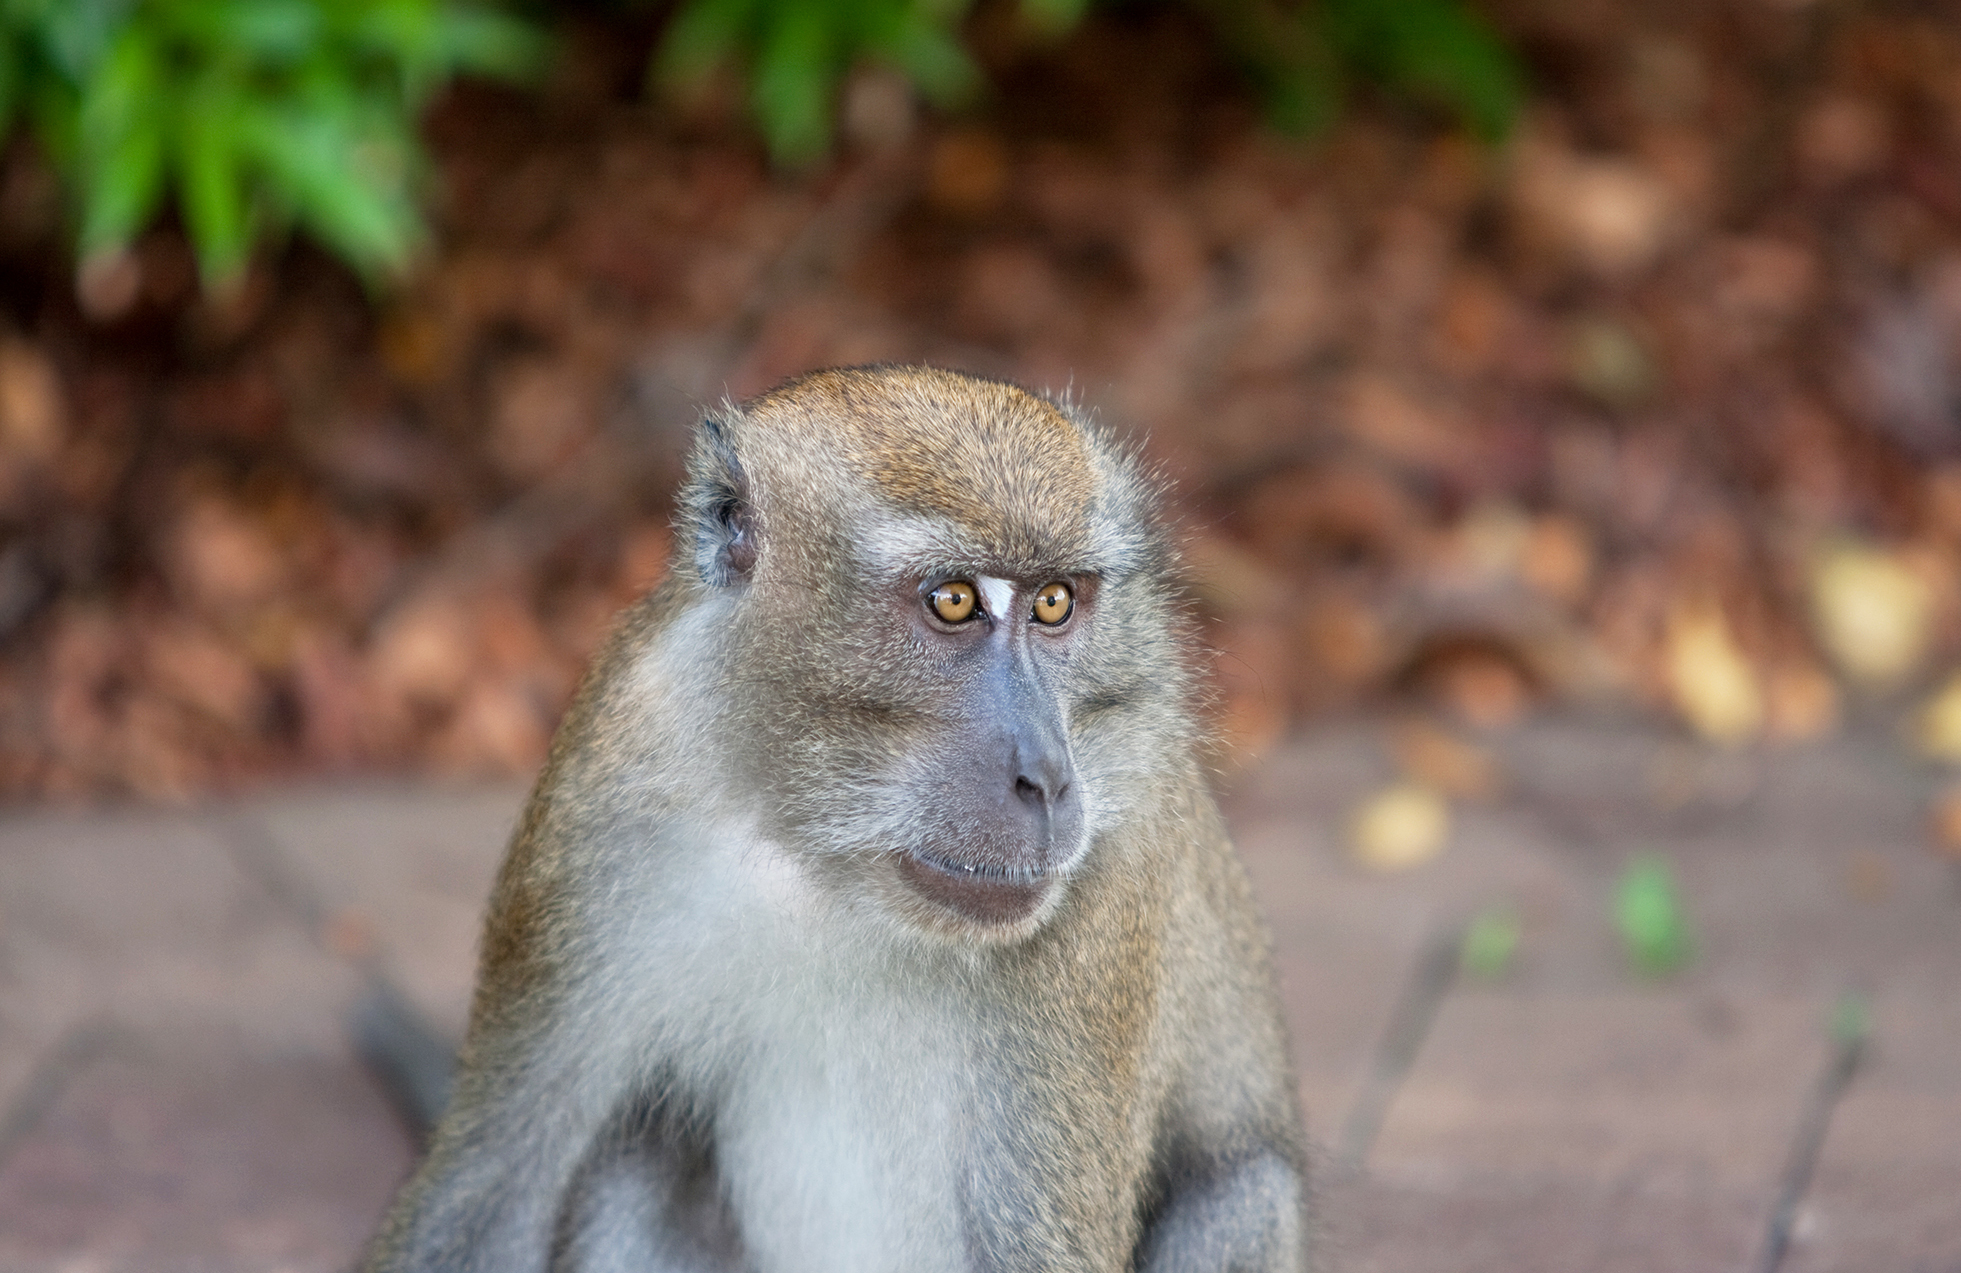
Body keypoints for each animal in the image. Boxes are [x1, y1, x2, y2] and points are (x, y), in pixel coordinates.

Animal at [360, 365, 1310, 1272]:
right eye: (954, 601)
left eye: (1054, 603)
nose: (1046, 776)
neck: (823, 859)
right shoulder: (605, 795)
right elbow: (491, 1189)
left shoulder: (1119, 852)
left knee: (1246, 1199)